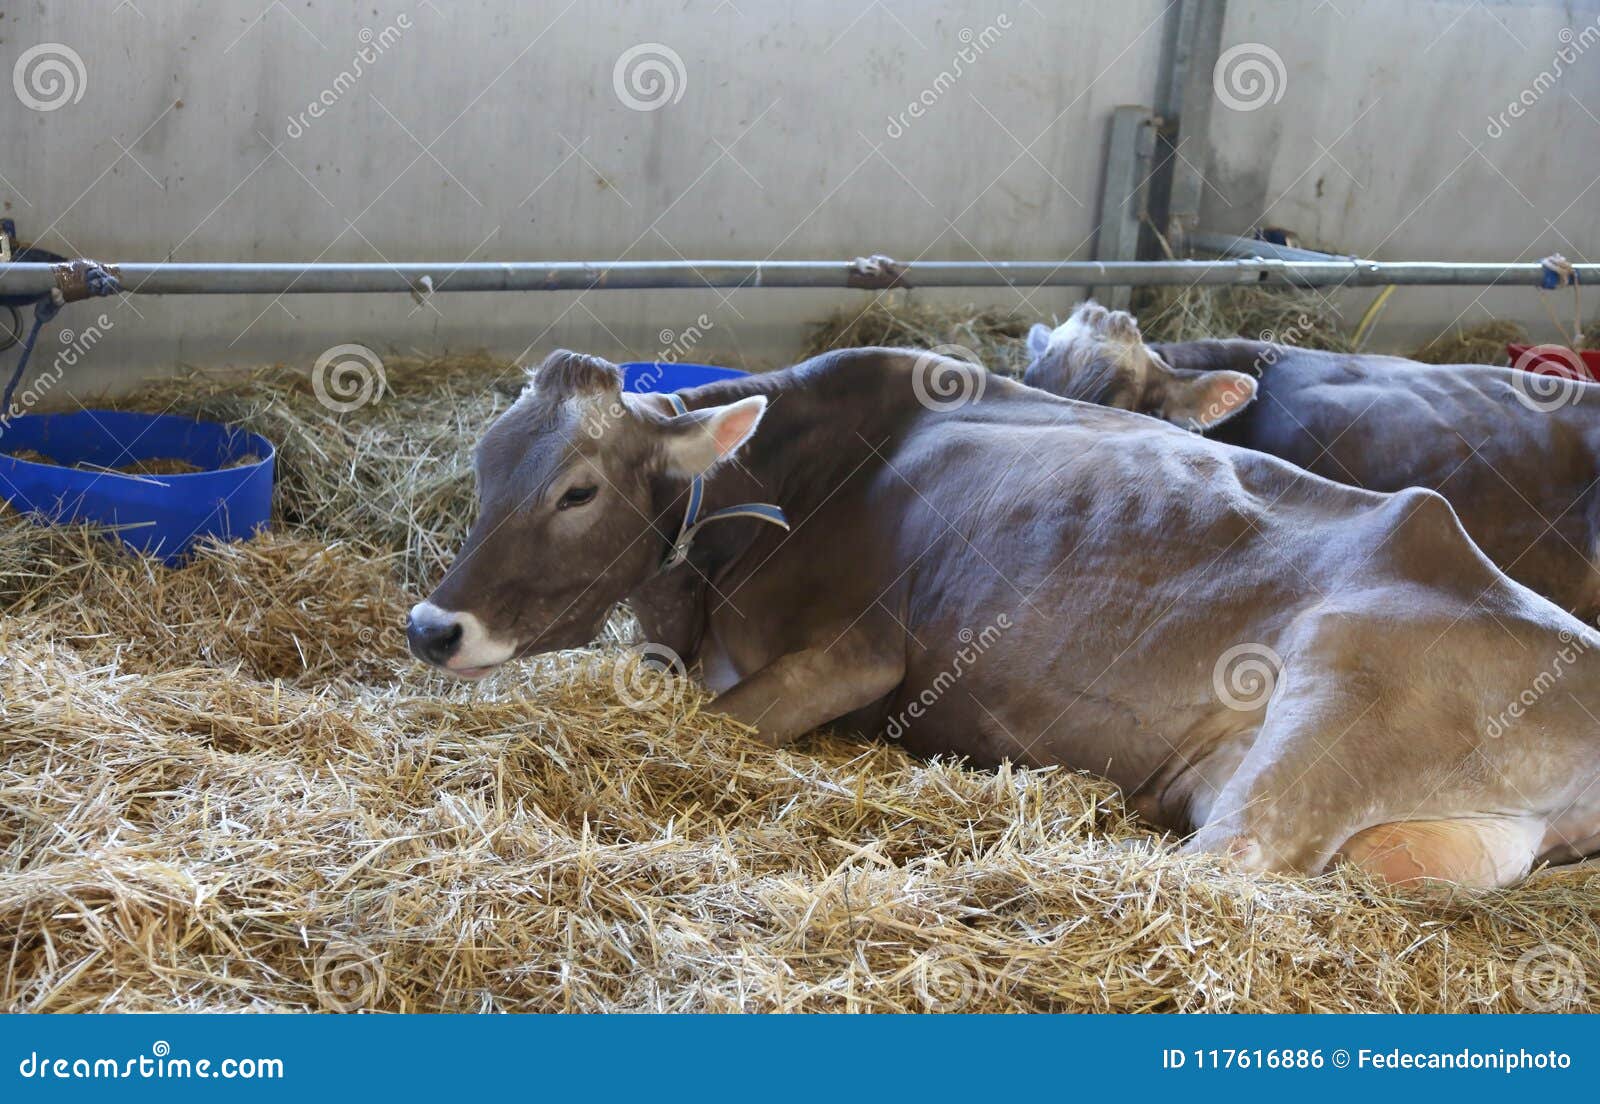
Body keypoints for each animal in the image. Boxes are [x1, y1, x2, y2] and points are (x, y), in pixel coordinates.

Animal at [406, 345, 1600, 887]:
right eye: (484, 465)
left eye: (577, 492)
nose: (430, 628)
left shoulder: (862, 652)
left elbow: (725, 722)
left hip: (1329, 697)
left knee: (1225, 860)